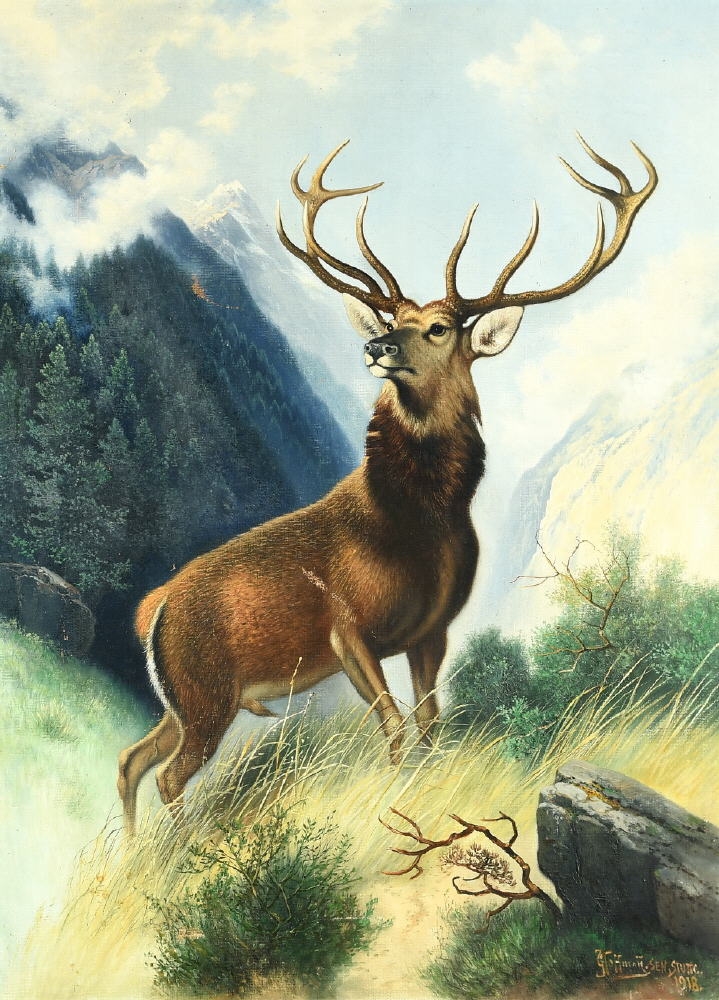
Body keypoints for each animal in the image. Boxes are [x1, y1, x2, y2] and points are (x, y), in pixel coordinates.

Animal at [117, 136, 656, 833]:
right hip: (206, 692)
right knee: (168, 774)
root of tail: (151, 609)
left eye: (439, 327)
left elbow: (430, 726)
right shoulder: (348, 629)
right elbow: (397, 732)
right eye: (391, 317)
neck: (421, 526)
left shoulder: (433, 629)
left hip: (184, 700)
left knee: (132, 760)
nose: (376, 345)